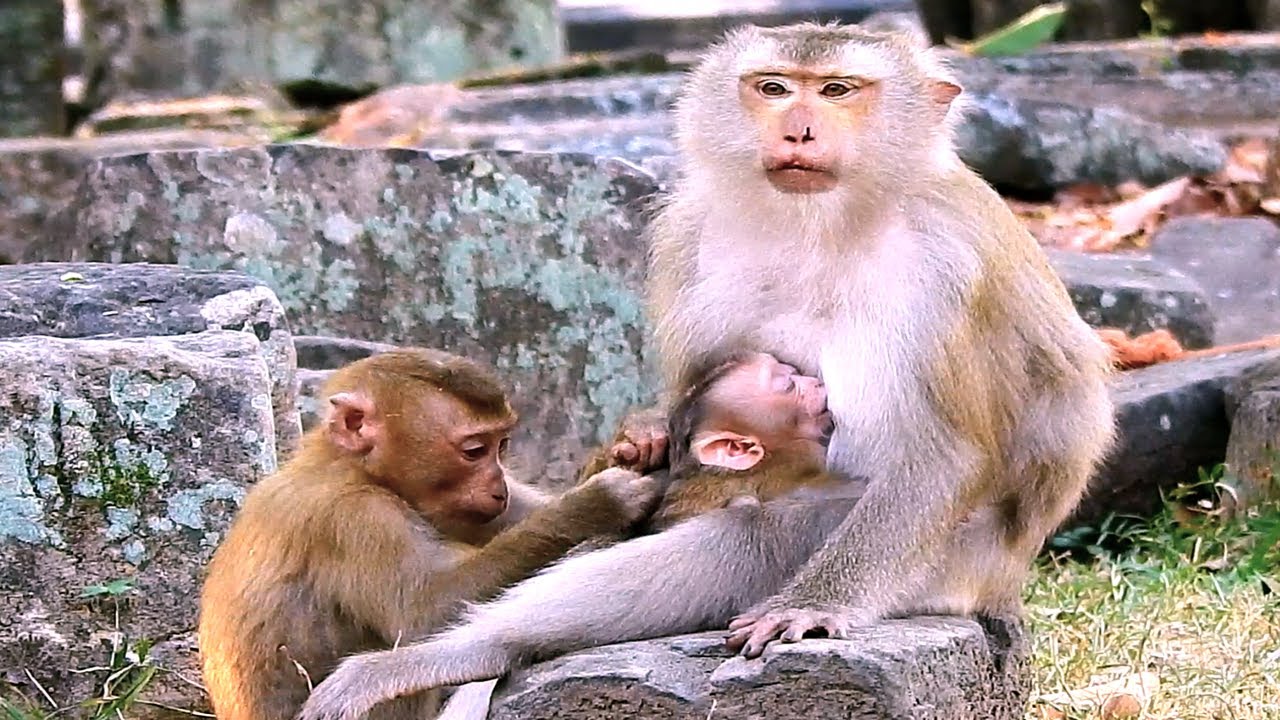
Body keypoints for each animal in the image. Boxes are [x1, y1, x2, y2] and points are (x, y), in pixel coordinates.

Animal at [196, 348, 663, 720]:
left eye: (502, 446)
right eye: (474, 451)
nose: (499, 486)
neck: (351, 466)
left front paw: (638, 438)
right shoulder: (351, 518)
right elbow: (425, 613)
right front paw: (597, 502)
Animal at [637, 21, 1115, 659]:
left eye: (837, 90)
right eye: (774, 88)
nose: (798, 130)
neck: (819, 223)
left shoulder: (946, 259)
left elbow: (942, 454)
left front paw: (810, 603)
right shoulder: (688, 230)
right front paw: (641, 439)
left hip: (955, 566)